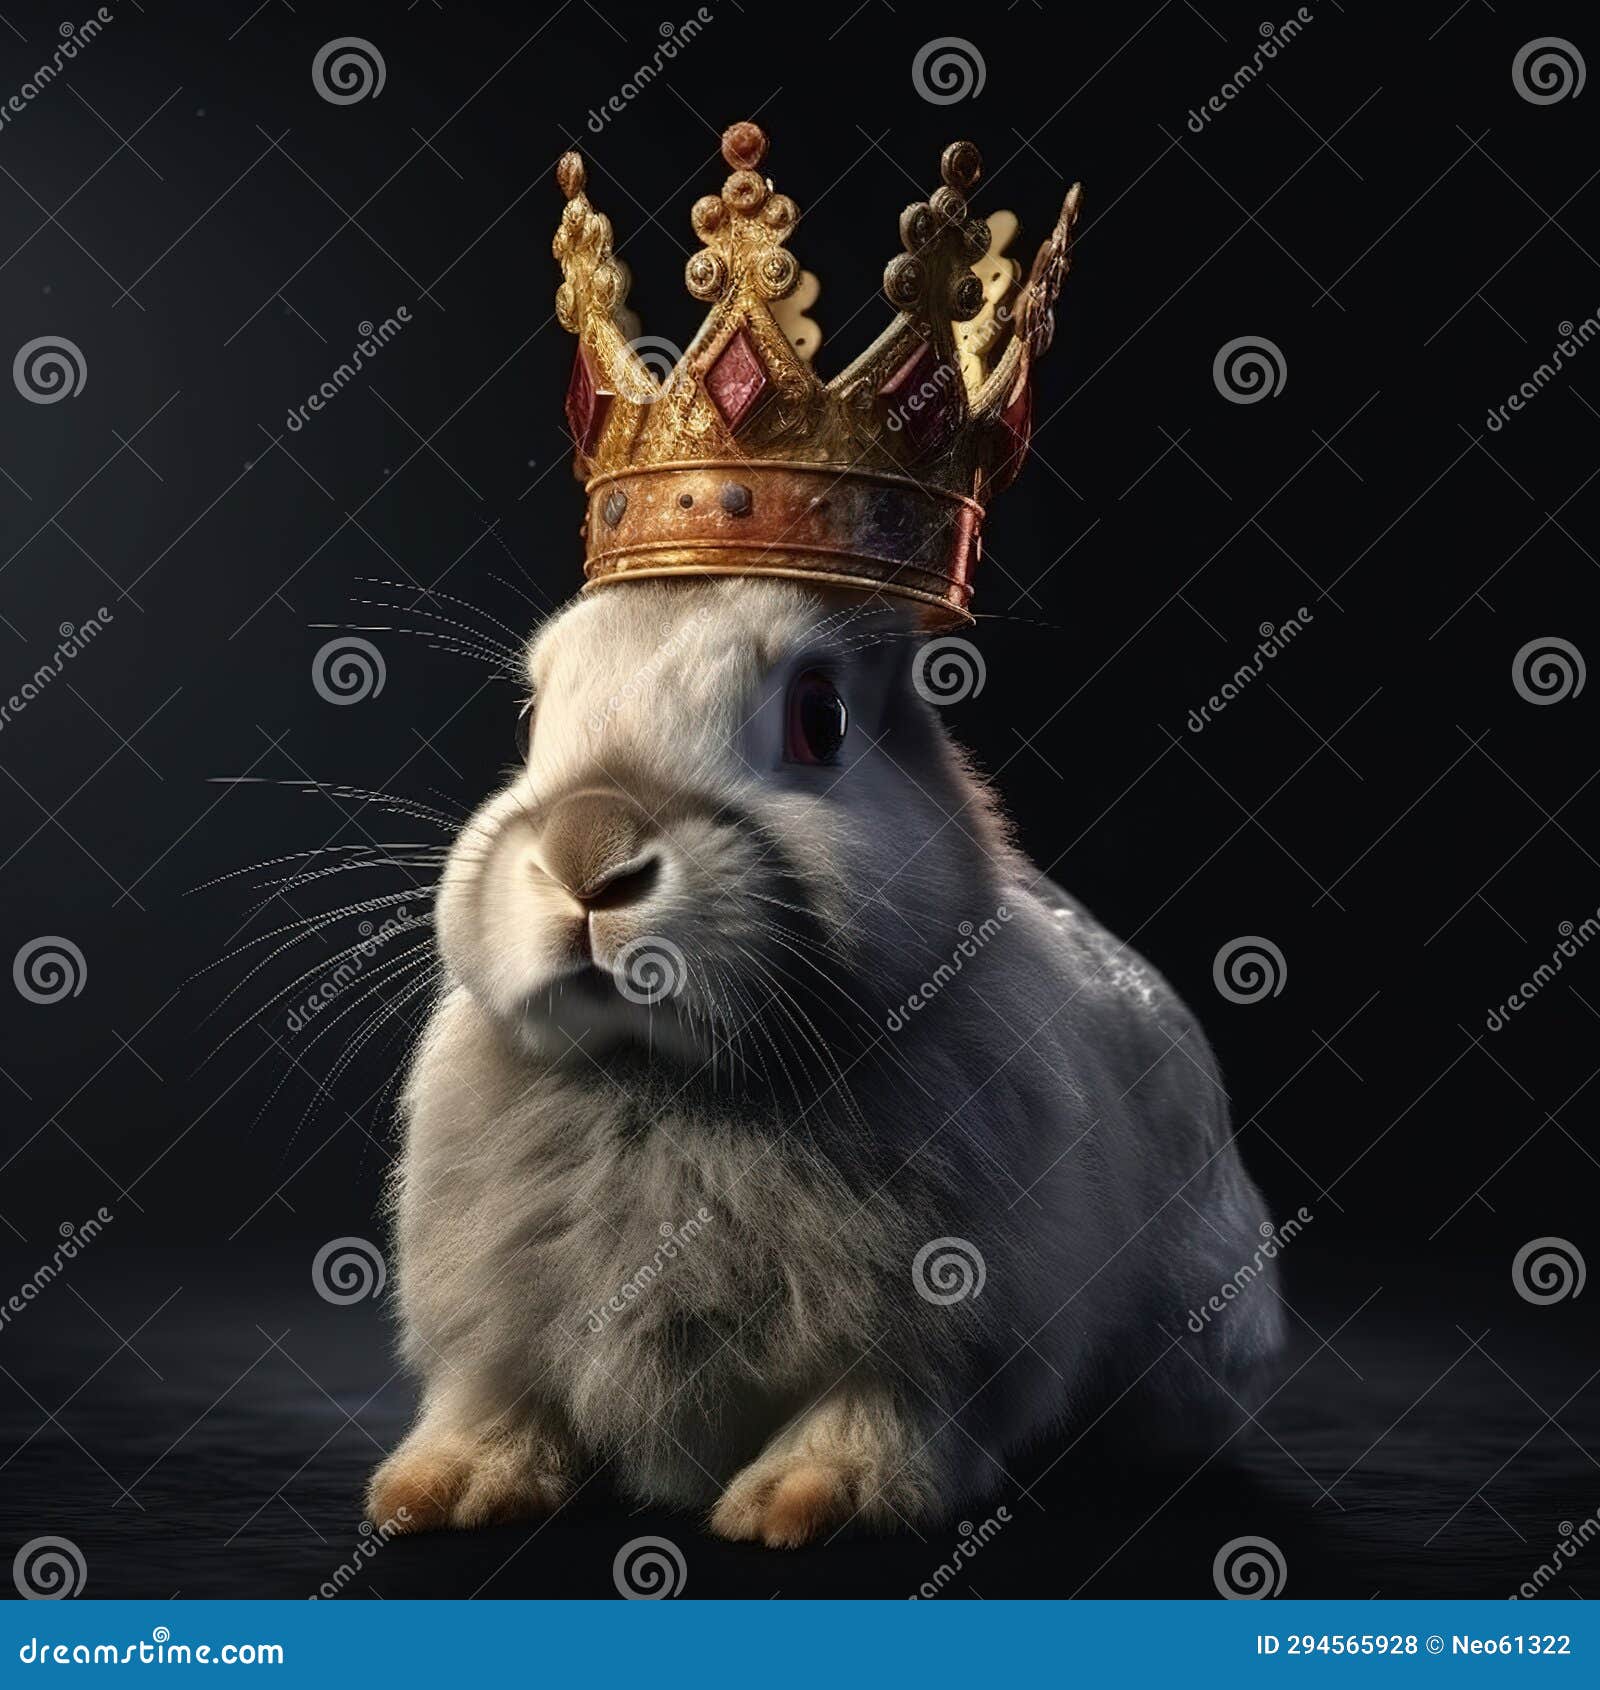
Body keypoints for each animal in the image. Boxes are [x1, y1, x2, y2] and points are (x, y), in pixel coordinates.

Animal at [365, 576, 1286, 1548]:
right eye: (530, 721)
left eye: (821, 718)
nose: (587, 854)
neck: (667, 1081)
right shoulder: (496, 1331)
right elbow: (499, 1399)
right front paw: (441, 1490)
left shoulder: (938, 1338)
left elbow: (877, 1407)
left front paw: (804, 1501)